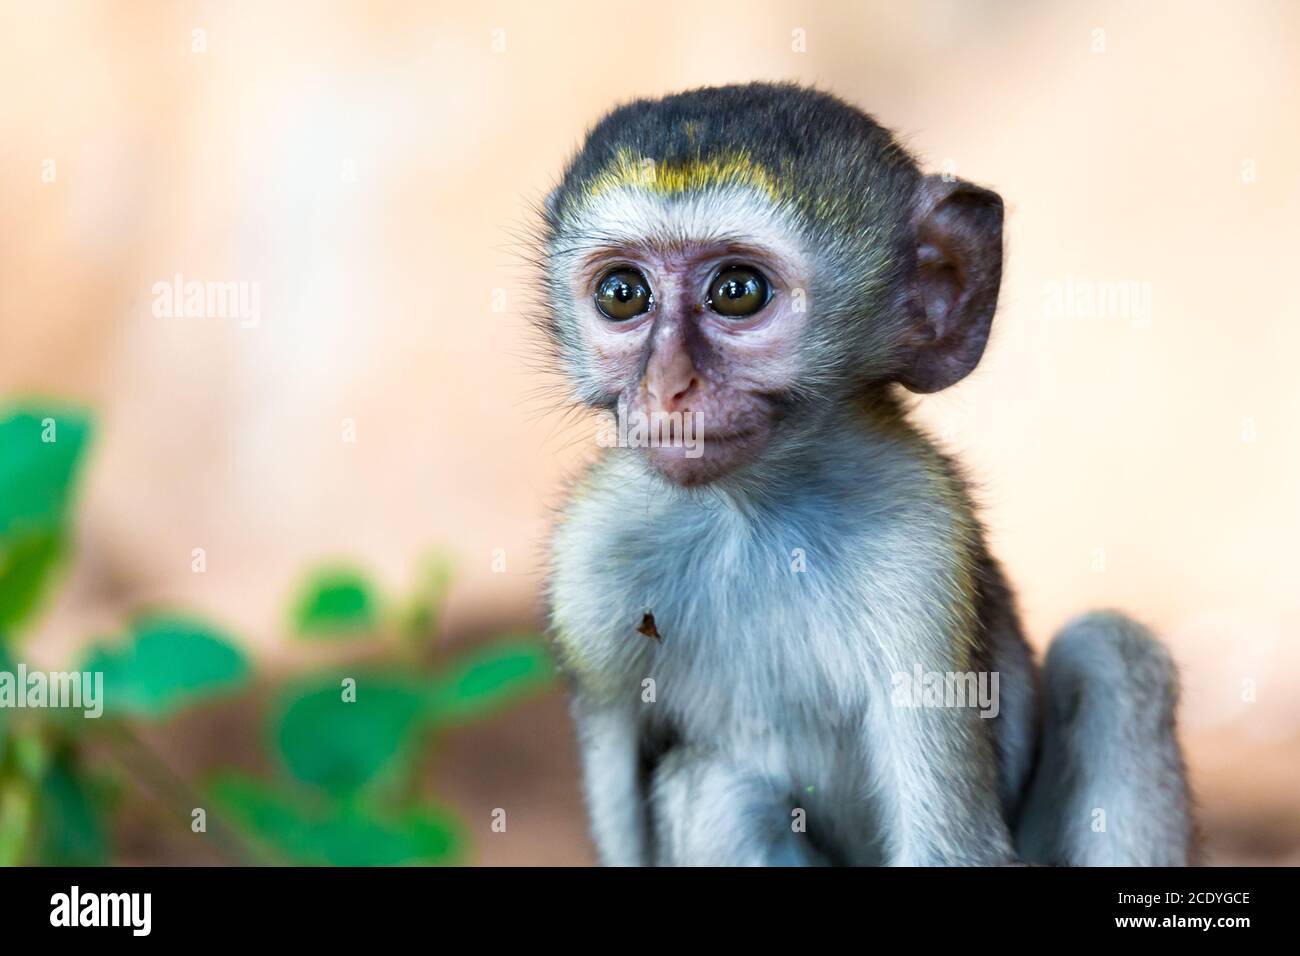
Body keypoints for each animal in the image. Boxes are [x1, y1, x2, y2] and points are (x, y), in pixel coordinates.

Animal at [538, 82, 1193, 866]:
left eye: (737, 291)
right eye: (623, 294)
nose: (667, 388)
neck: (750, 516)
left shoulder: (921, 546)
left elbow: (950, 848)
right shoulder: (589, 557)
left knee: (1113, 654)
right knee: (716, 792)